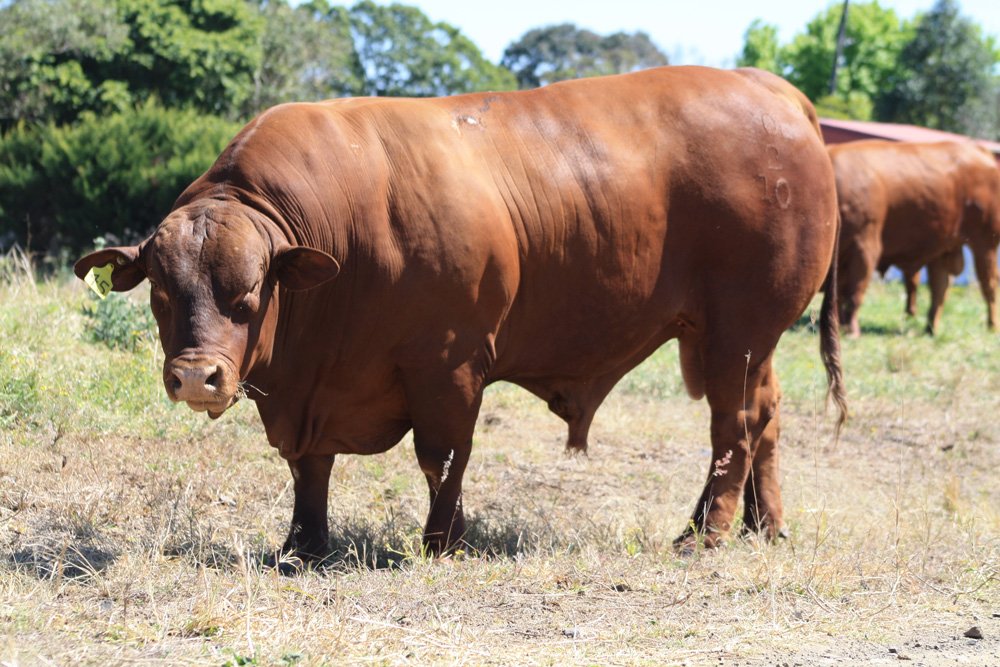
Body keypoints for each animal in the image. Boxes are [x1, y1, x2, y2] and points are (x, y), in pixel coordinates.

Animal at [75, 66, 845, 563]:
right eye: (162, 293)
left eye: (250, 291)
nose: (195, 377)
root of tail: (773, 89)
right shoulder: (310, 391)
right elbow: (309, 468)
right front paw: (302, 545)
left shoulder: (447, 361)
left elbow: (441, 455)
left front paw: (442, 541)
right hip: (745, 341)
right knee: (767, 417)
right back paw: (764, 526)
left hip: (735, 333)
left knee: (733, 427)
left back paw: (705, 533)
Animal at [830, 140, 1000, 337]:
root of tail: (979, 150)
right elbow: (838, 295)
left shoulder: (865, 249)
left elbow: (854, 293)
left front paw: (851, 331)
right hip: (943, 249)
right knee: (940, 288)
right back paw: (930, 329)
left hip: (985, 243)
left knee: (989, 284)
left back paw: (992, 326)